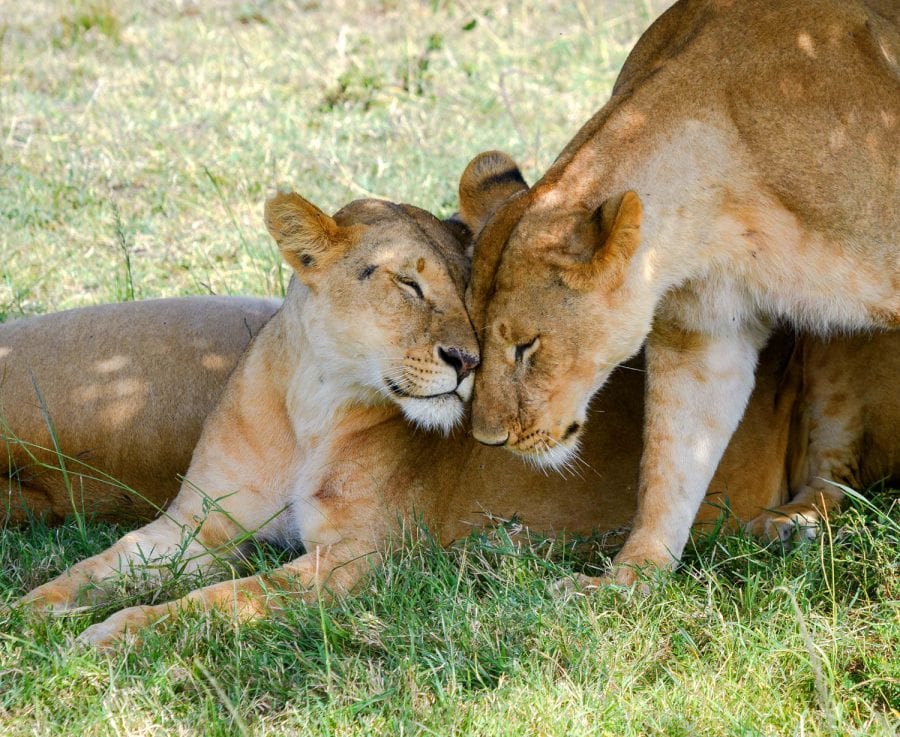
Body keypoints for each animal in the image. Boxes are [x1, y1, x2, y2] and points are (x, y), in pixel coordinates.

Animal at [460, 0, 899, 585]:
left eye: (527, 346)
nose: (488, 441)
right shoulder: (702, 330)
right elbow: (673, 460)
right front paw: (629, 579)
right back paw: (790, 523)